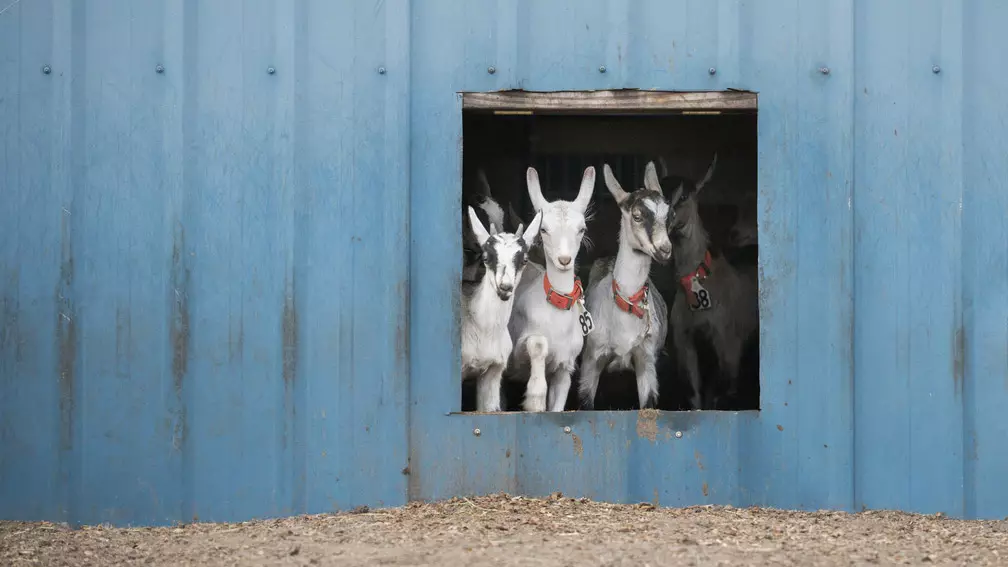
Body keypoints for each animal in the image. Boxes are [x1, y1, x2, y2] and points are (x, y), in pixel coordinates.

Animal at [508, 163, 592, 409]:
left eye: (582, 229)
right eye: (543, 229)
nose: (564, 260)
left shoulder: (565, 365)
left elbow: (557, 403)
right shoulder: (516, 350)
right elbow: (537, 345)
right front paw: (534, 398)